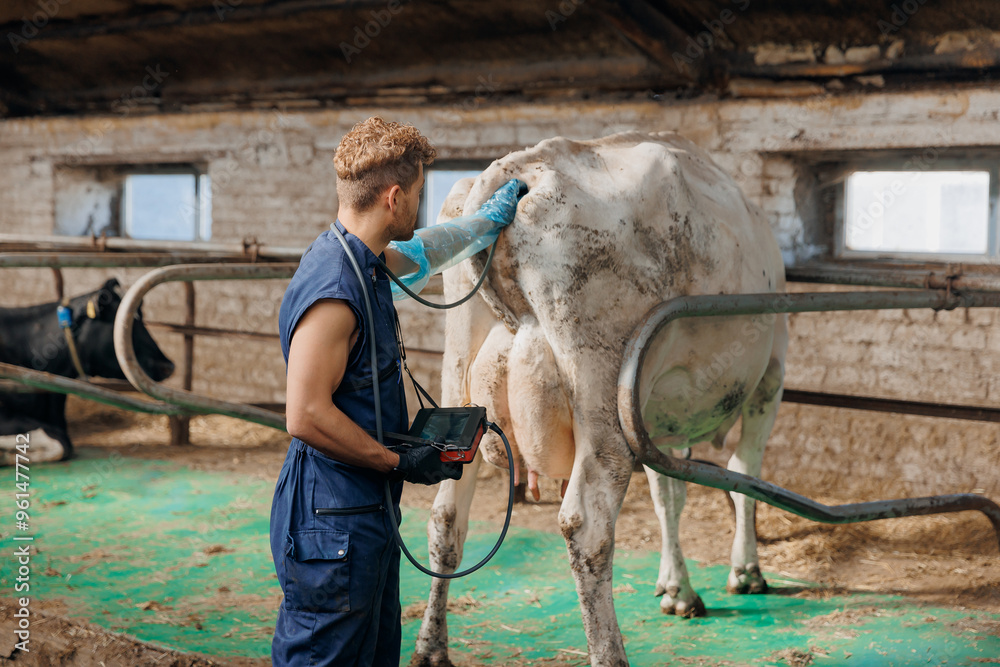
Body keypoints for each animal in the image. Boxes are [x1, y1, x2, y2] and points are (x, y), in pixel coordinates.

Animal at [410, 131, 788, 667]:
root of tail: (520, 167)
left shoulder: (651, 413)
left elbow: (668, 496)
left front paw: (676, 587)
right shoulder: (771, 374)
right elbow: (744, 476)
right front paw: (745, 571)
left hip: (458, 372)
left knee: (445, 515)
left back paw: (431, 647)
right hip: (601, 397)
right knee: (586, 525)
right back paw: (610, 653)